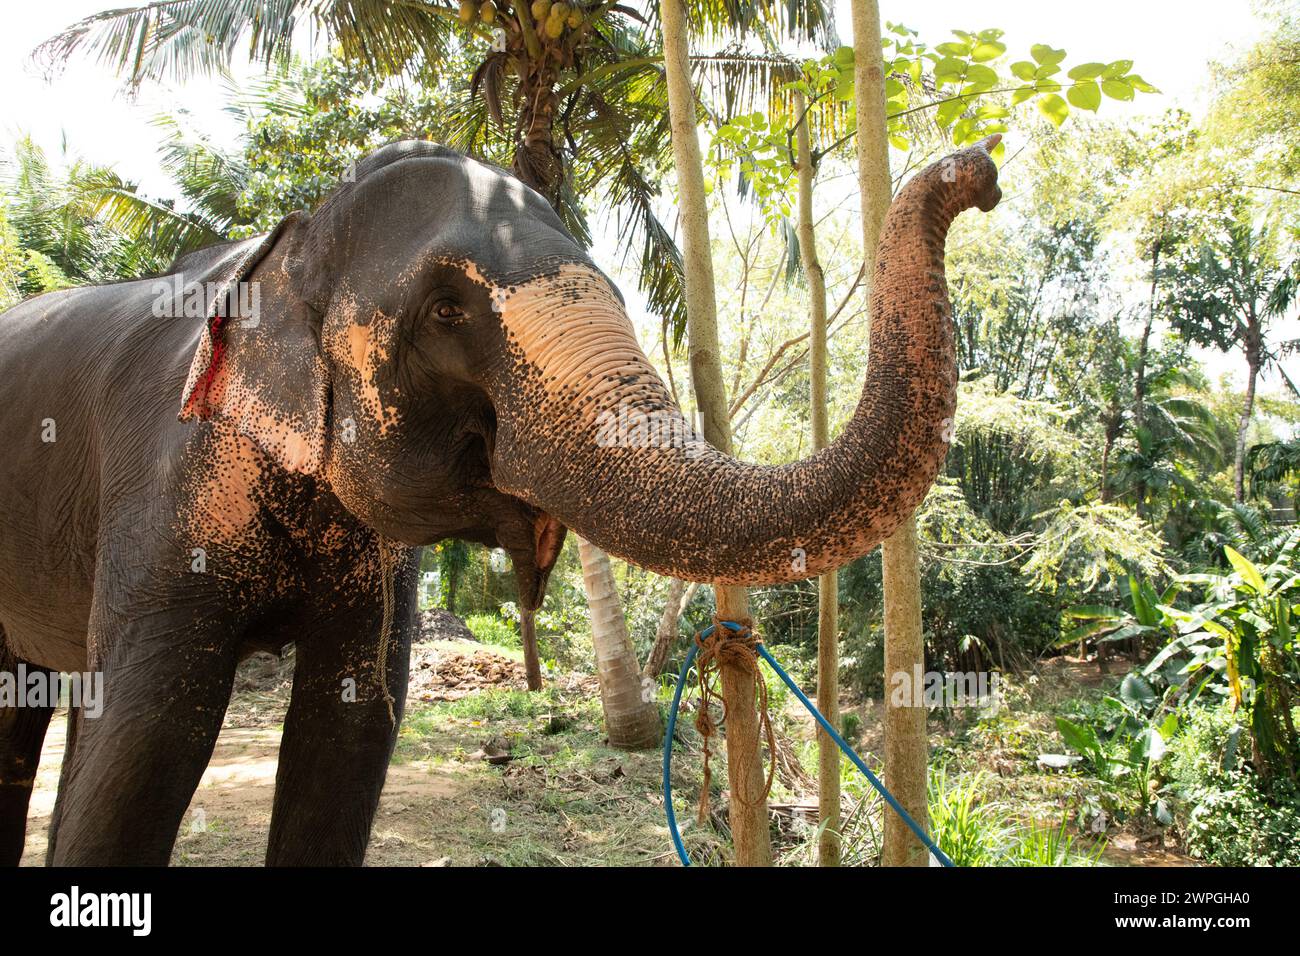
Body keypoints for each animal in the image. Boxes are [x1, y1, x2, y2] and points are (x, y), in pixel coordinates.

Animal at [0, 135, 1001, 865]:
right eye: (447, 311)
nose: (977, 172)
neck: (289, 240)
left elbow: (349, 732)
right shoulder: (164, 491)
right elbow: (142, 742)